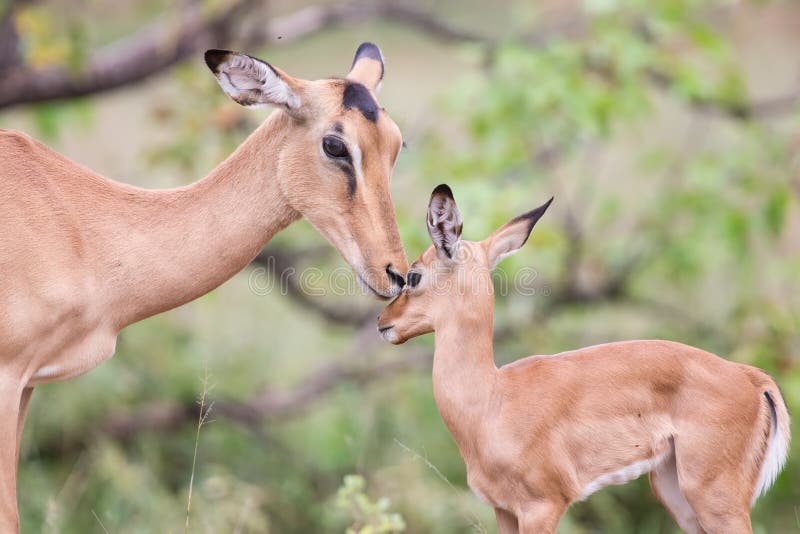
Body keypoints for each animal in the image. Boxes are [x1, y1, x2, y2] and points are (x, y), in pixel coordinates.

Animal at [0, 43, 408, 531]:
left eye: (397, 143)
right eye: (335, 144)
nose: (396, 274)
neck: (77, 224)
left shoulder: (28, 384)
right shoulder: (7, 377)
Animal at [377, 185, 790, 534]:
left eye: (413, 275)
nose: (383, 323)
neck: (492, 400)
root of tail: (753, 378)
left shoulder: (542, 505)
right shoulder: (503, 509)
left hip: (715, 496)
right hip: (677, 494)